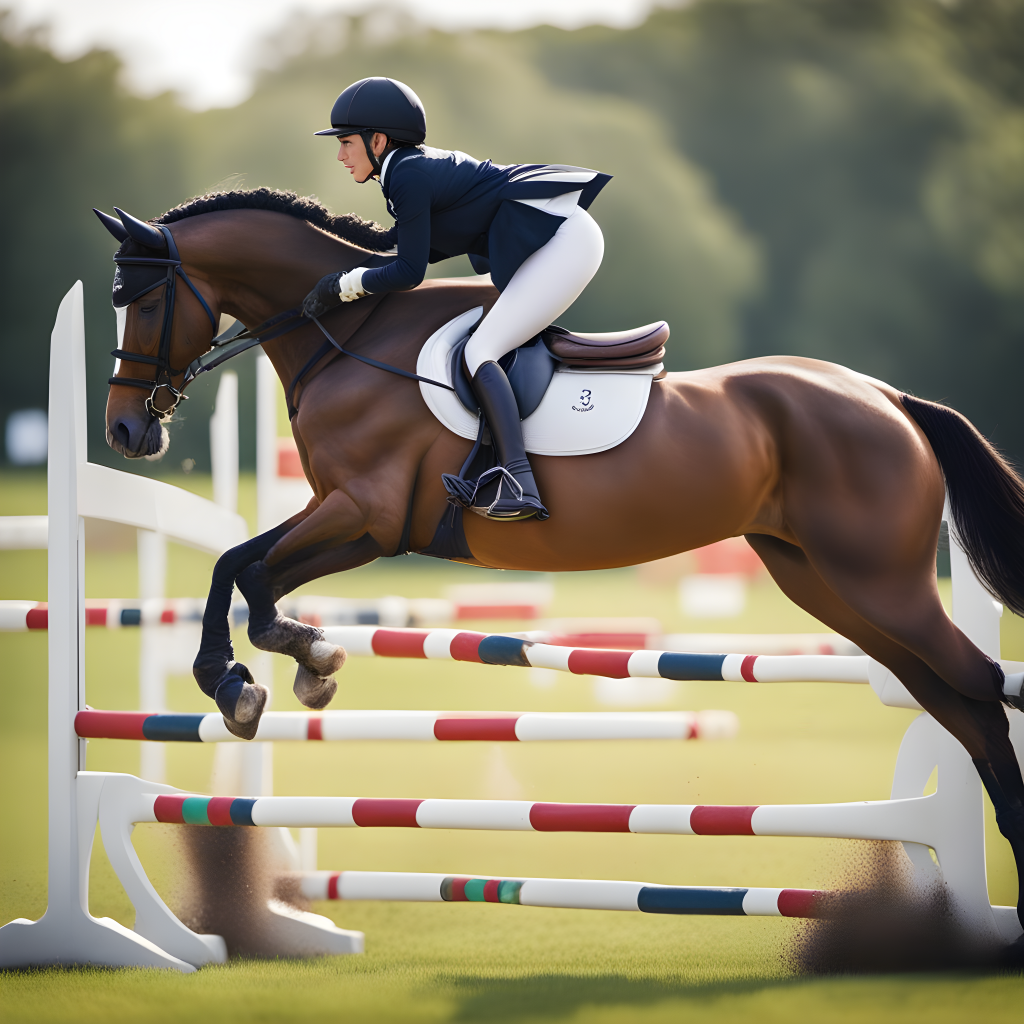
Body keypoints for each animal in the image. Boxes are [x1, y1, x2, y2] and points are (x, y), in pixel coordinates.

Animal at [98, 189, 1024, 938]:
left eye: (140, 300)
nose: (126, 432)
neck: (347, 337)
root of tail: (888, 398)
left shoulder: (362, 513)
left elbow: (246, 573)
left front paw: (255, 679)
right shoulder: (358, 523)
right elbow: (241, 567)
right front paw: (296, 664)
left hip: (880, 583)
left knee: (977, 687)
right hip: (826, 582)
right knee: (956, 700)